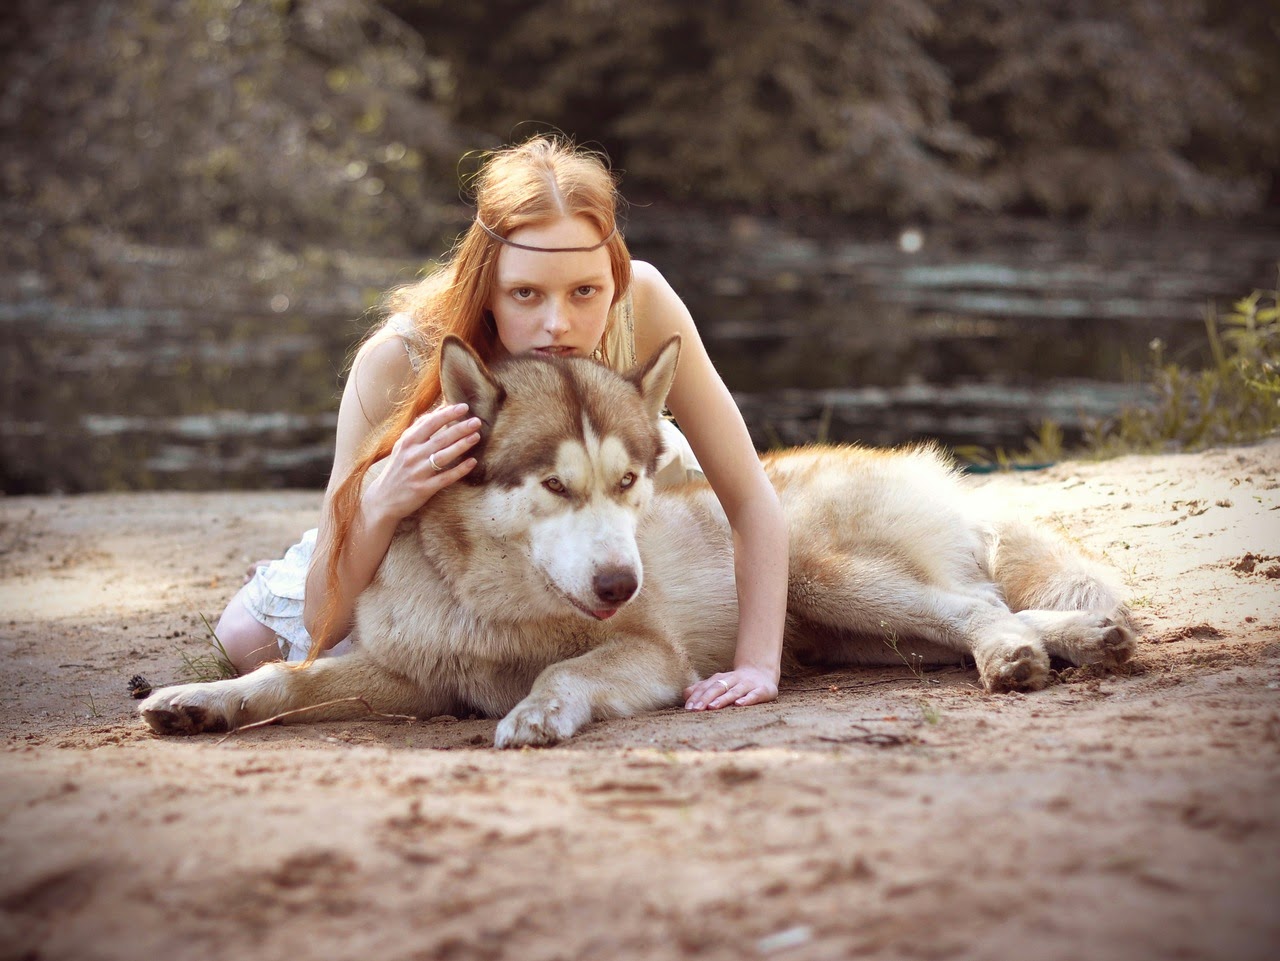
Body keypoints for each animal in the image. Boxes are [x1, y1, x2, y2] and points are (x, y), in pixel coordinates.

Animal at [140, 336, 1135, 747]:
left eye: (628, 482)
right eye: (554, 485)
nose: (623, 580)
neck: (488, 604)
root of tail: (929, 466)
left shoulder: (653, 654)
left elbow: (566, 668)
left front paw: (539, 709)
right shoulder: (408, 674)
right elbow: (283, 675)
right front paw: (201, 700)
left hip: (820, 575)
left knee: (975, 606)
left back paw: (1016, 653)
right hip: (859, 635)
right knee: (987, 608)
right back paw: (1085, 639)